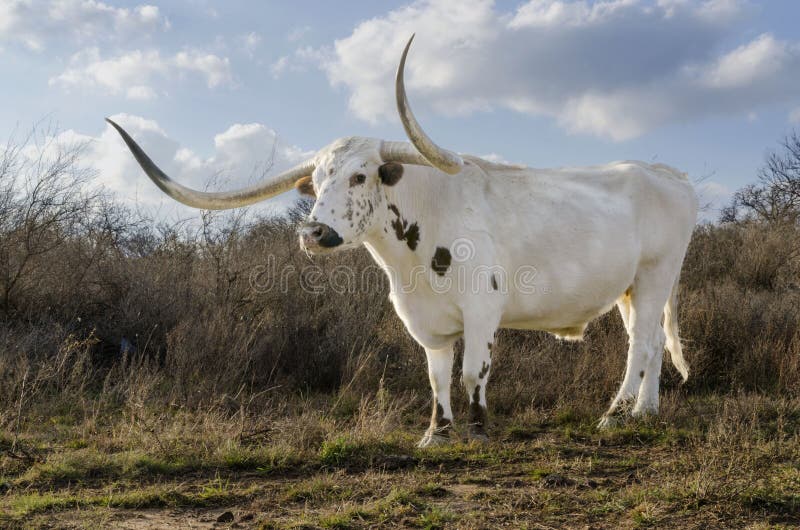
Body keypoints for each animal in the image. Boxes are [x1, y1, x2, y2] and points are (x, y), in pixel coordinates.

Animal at [108, 36, 697, 447]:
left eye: (360, 176)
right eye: (315, 181)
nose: (312, 232)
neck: (412, 260)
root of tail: (668, 173)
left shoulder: (484, 307)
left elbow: (472, 371)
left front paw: (478, 431)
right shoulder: (424, 322)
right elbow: (437, 379)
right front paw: (436, 434)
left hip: (654, 276)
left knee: (640, 345)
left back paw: (614, 416)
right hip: (630, 288)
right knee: (648, 347)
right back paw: (644, 414)